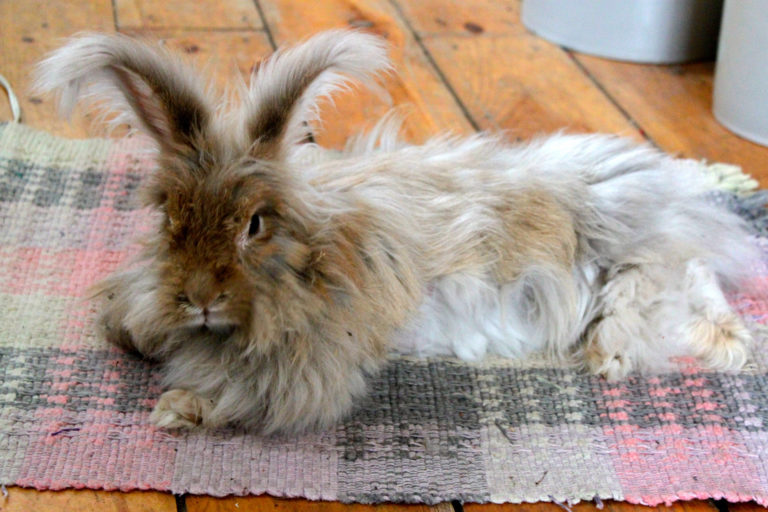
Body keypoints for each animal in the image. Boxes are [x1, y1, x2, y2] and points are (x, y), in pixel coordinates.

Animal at [35, 30, 758, 434]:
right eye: (168, 217)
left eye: (255, 225)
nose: (199, 299)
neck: (315, 258)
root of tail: (675, 194)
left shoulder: (307, 371)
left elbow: (242, 399)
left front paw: (175, 411)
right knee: (696, 282)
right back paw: (721, 347)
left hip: (632, 249)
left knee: (670, 281)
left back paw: (625, 355)